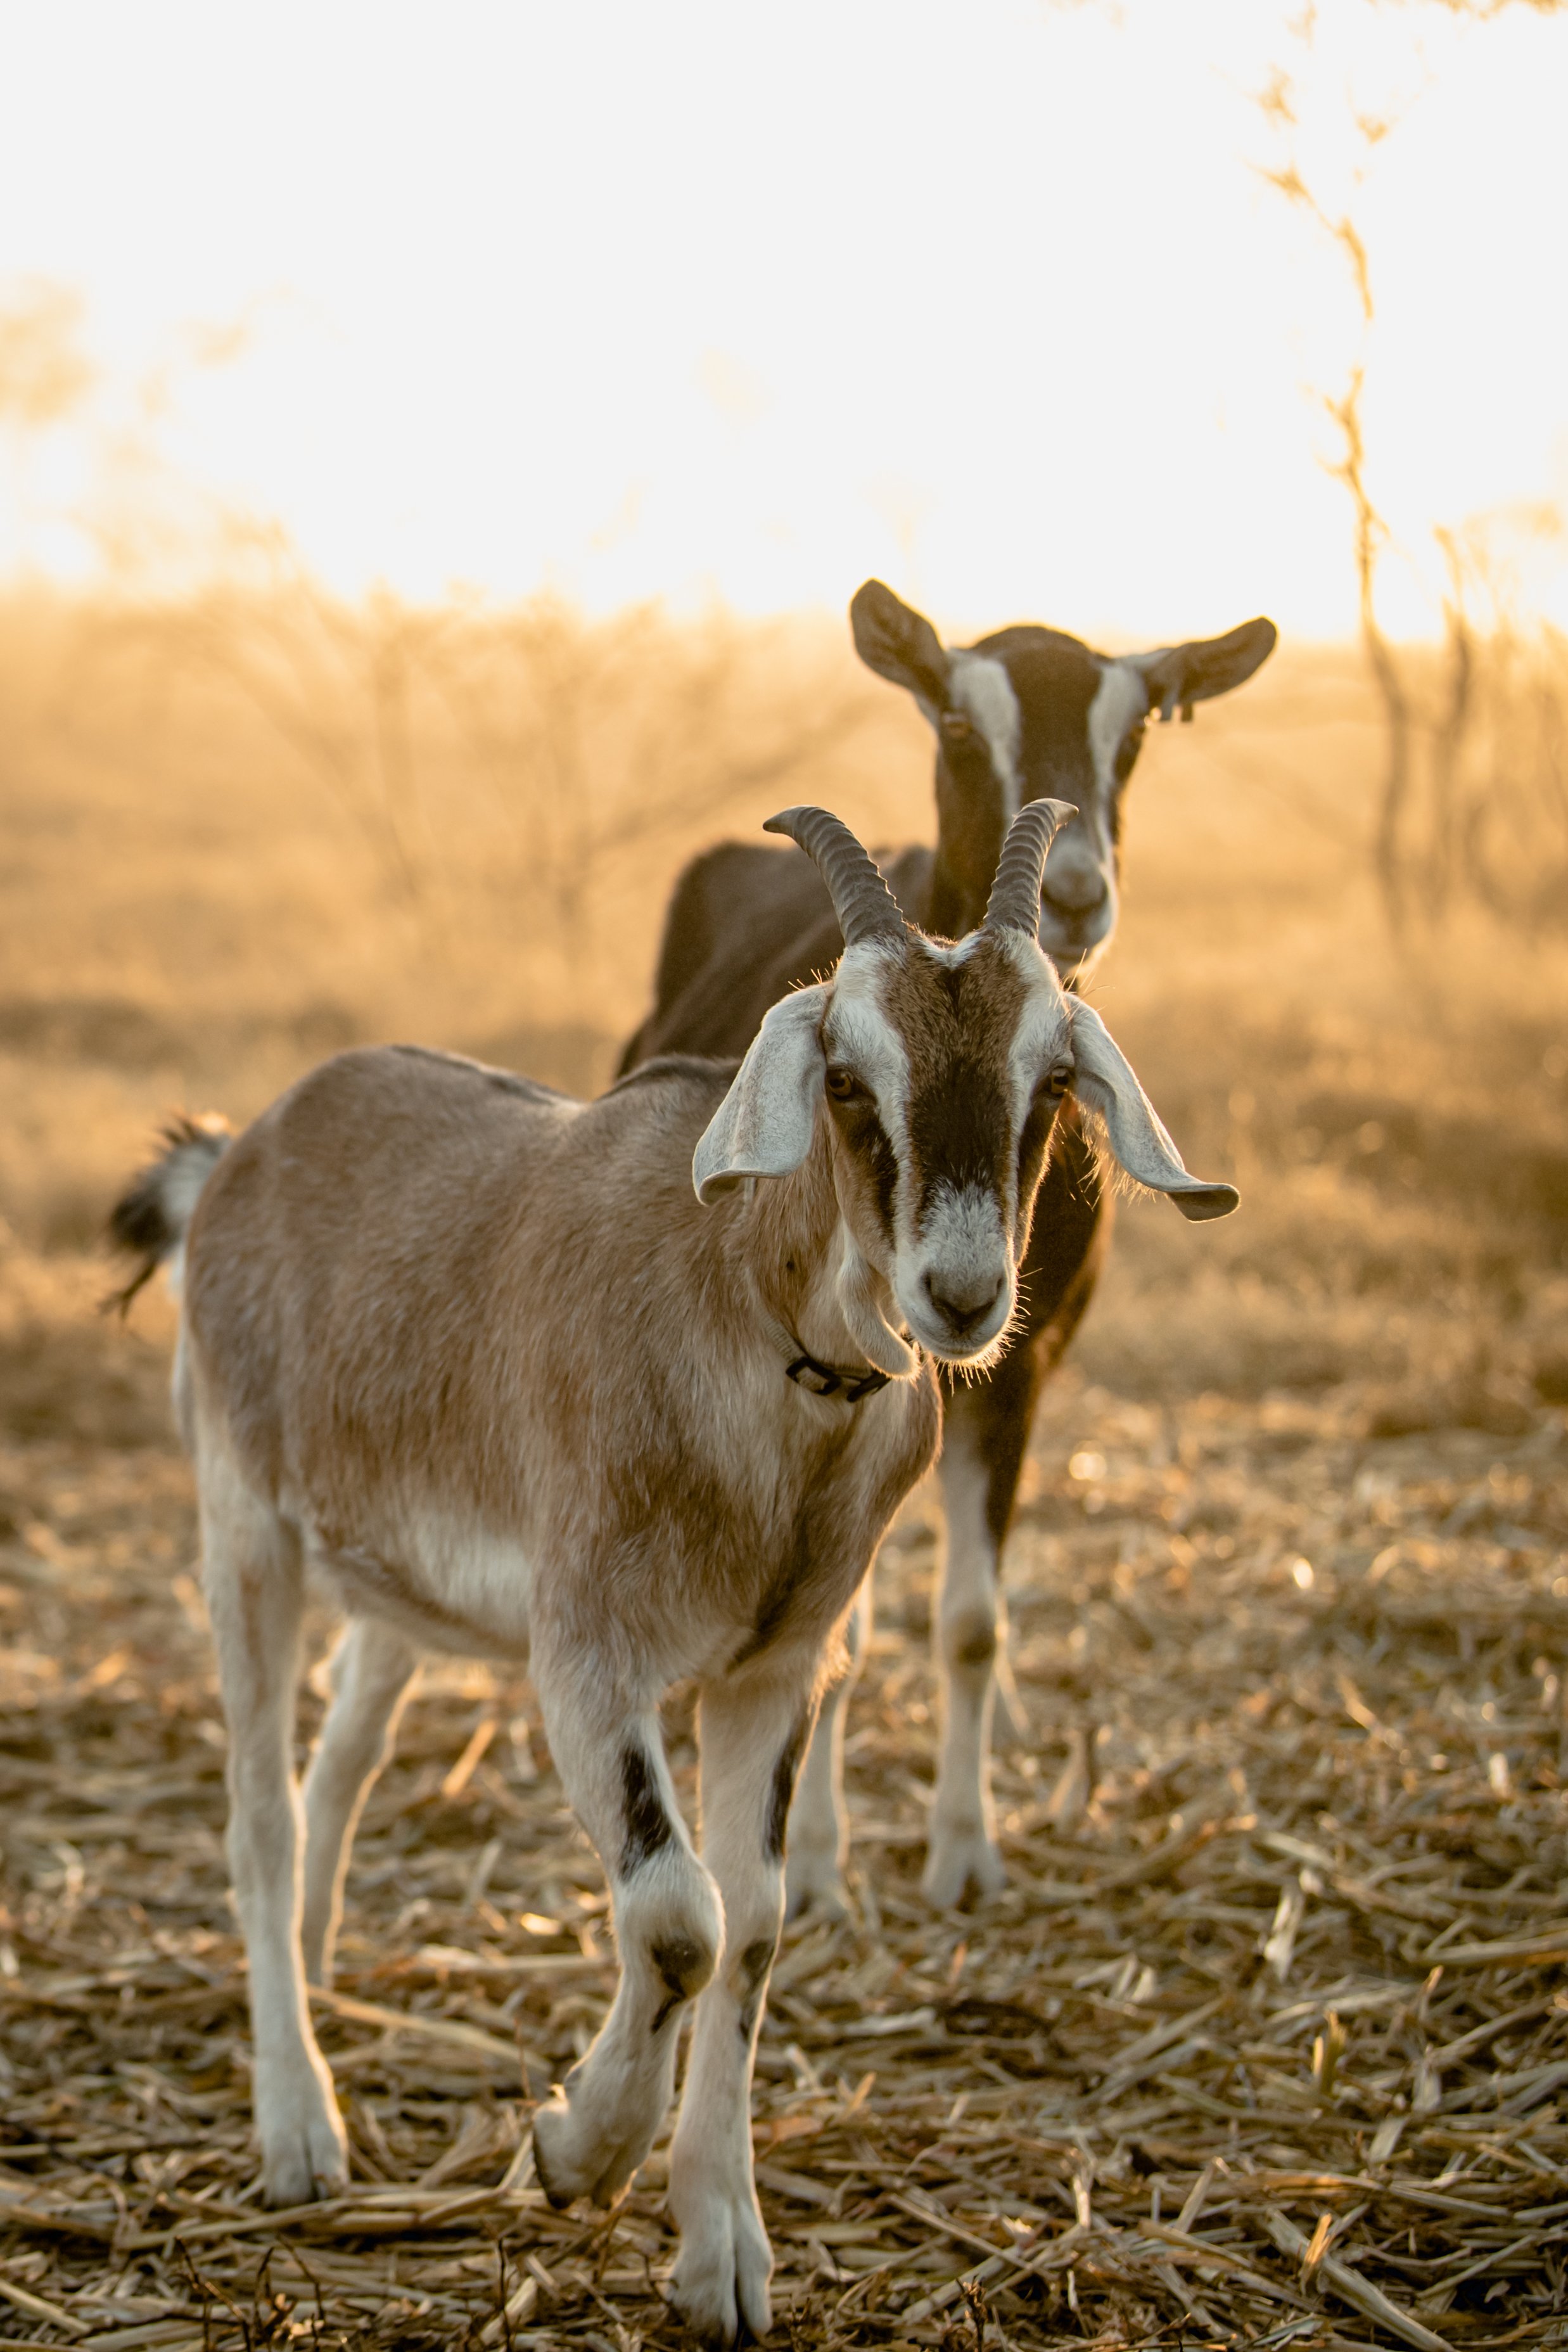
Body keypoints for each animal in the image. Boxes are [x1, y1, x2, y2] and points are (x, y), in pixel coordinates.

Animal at [109, 802, 1234, 2345]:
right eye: (846, 1078)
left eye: (1049, 1074)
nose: (958, 1295)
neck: (747, 1321)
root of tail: (238, 1151)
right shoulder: (591, 1656)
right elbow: (677, 1914)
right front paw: (576, 2150)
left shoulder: (777, 1665)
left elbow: (754, 1922)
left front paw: (722, 2253)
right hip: (246, 1523)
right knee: (258, 1813)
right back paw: (299, 2130)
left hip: (396, 1578)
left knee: (339, 1758)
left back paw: (329, 1963)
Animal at [620, 581, 1275, 1913]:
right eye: (961, 724)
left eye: (1139, 728)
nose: (1075, 892)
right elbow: (836, 1629)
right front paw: (821, 1864)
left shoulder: (1018, 1366)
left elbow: (973, 1619)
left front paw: (966, 1852)